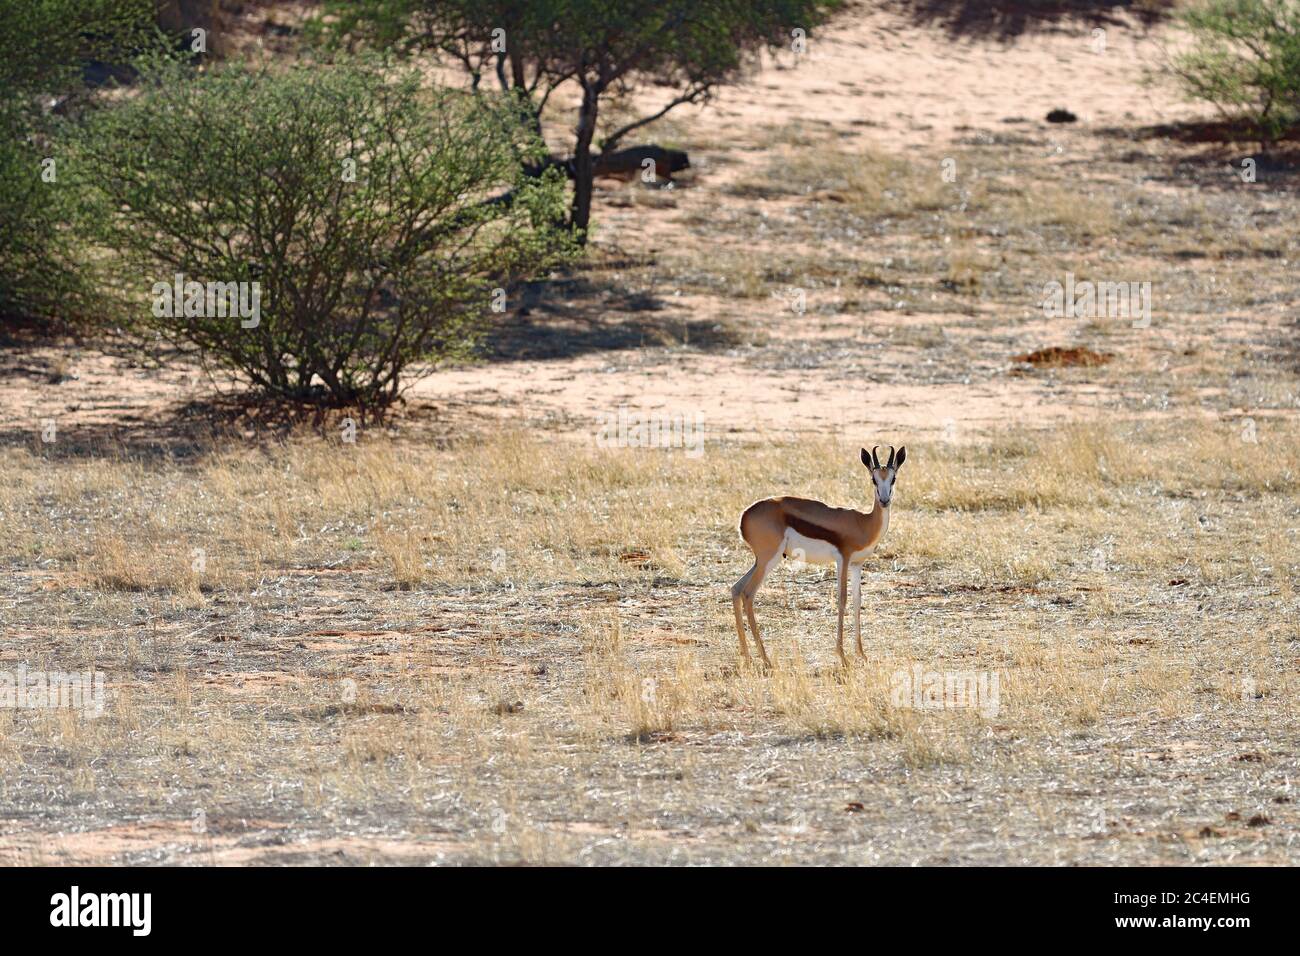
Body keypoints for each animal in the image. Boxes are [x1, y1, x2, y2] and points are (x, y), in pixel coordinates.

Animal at [731, 445, 906, 667]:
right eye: (873, 479)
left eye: (893, 478)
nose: (884, 501)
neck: (864, 523)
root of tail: (744, 517)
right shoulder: (843, 559)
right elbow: (842, 599)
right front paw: (842, 656)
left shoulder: (857, 564)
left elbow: (857, 600)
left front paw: (861, 654)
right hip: (768, 560)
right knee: (748, 594)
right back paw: (766, 659)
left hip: (762, 561)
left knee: (736, 589)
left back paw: (747, 657)